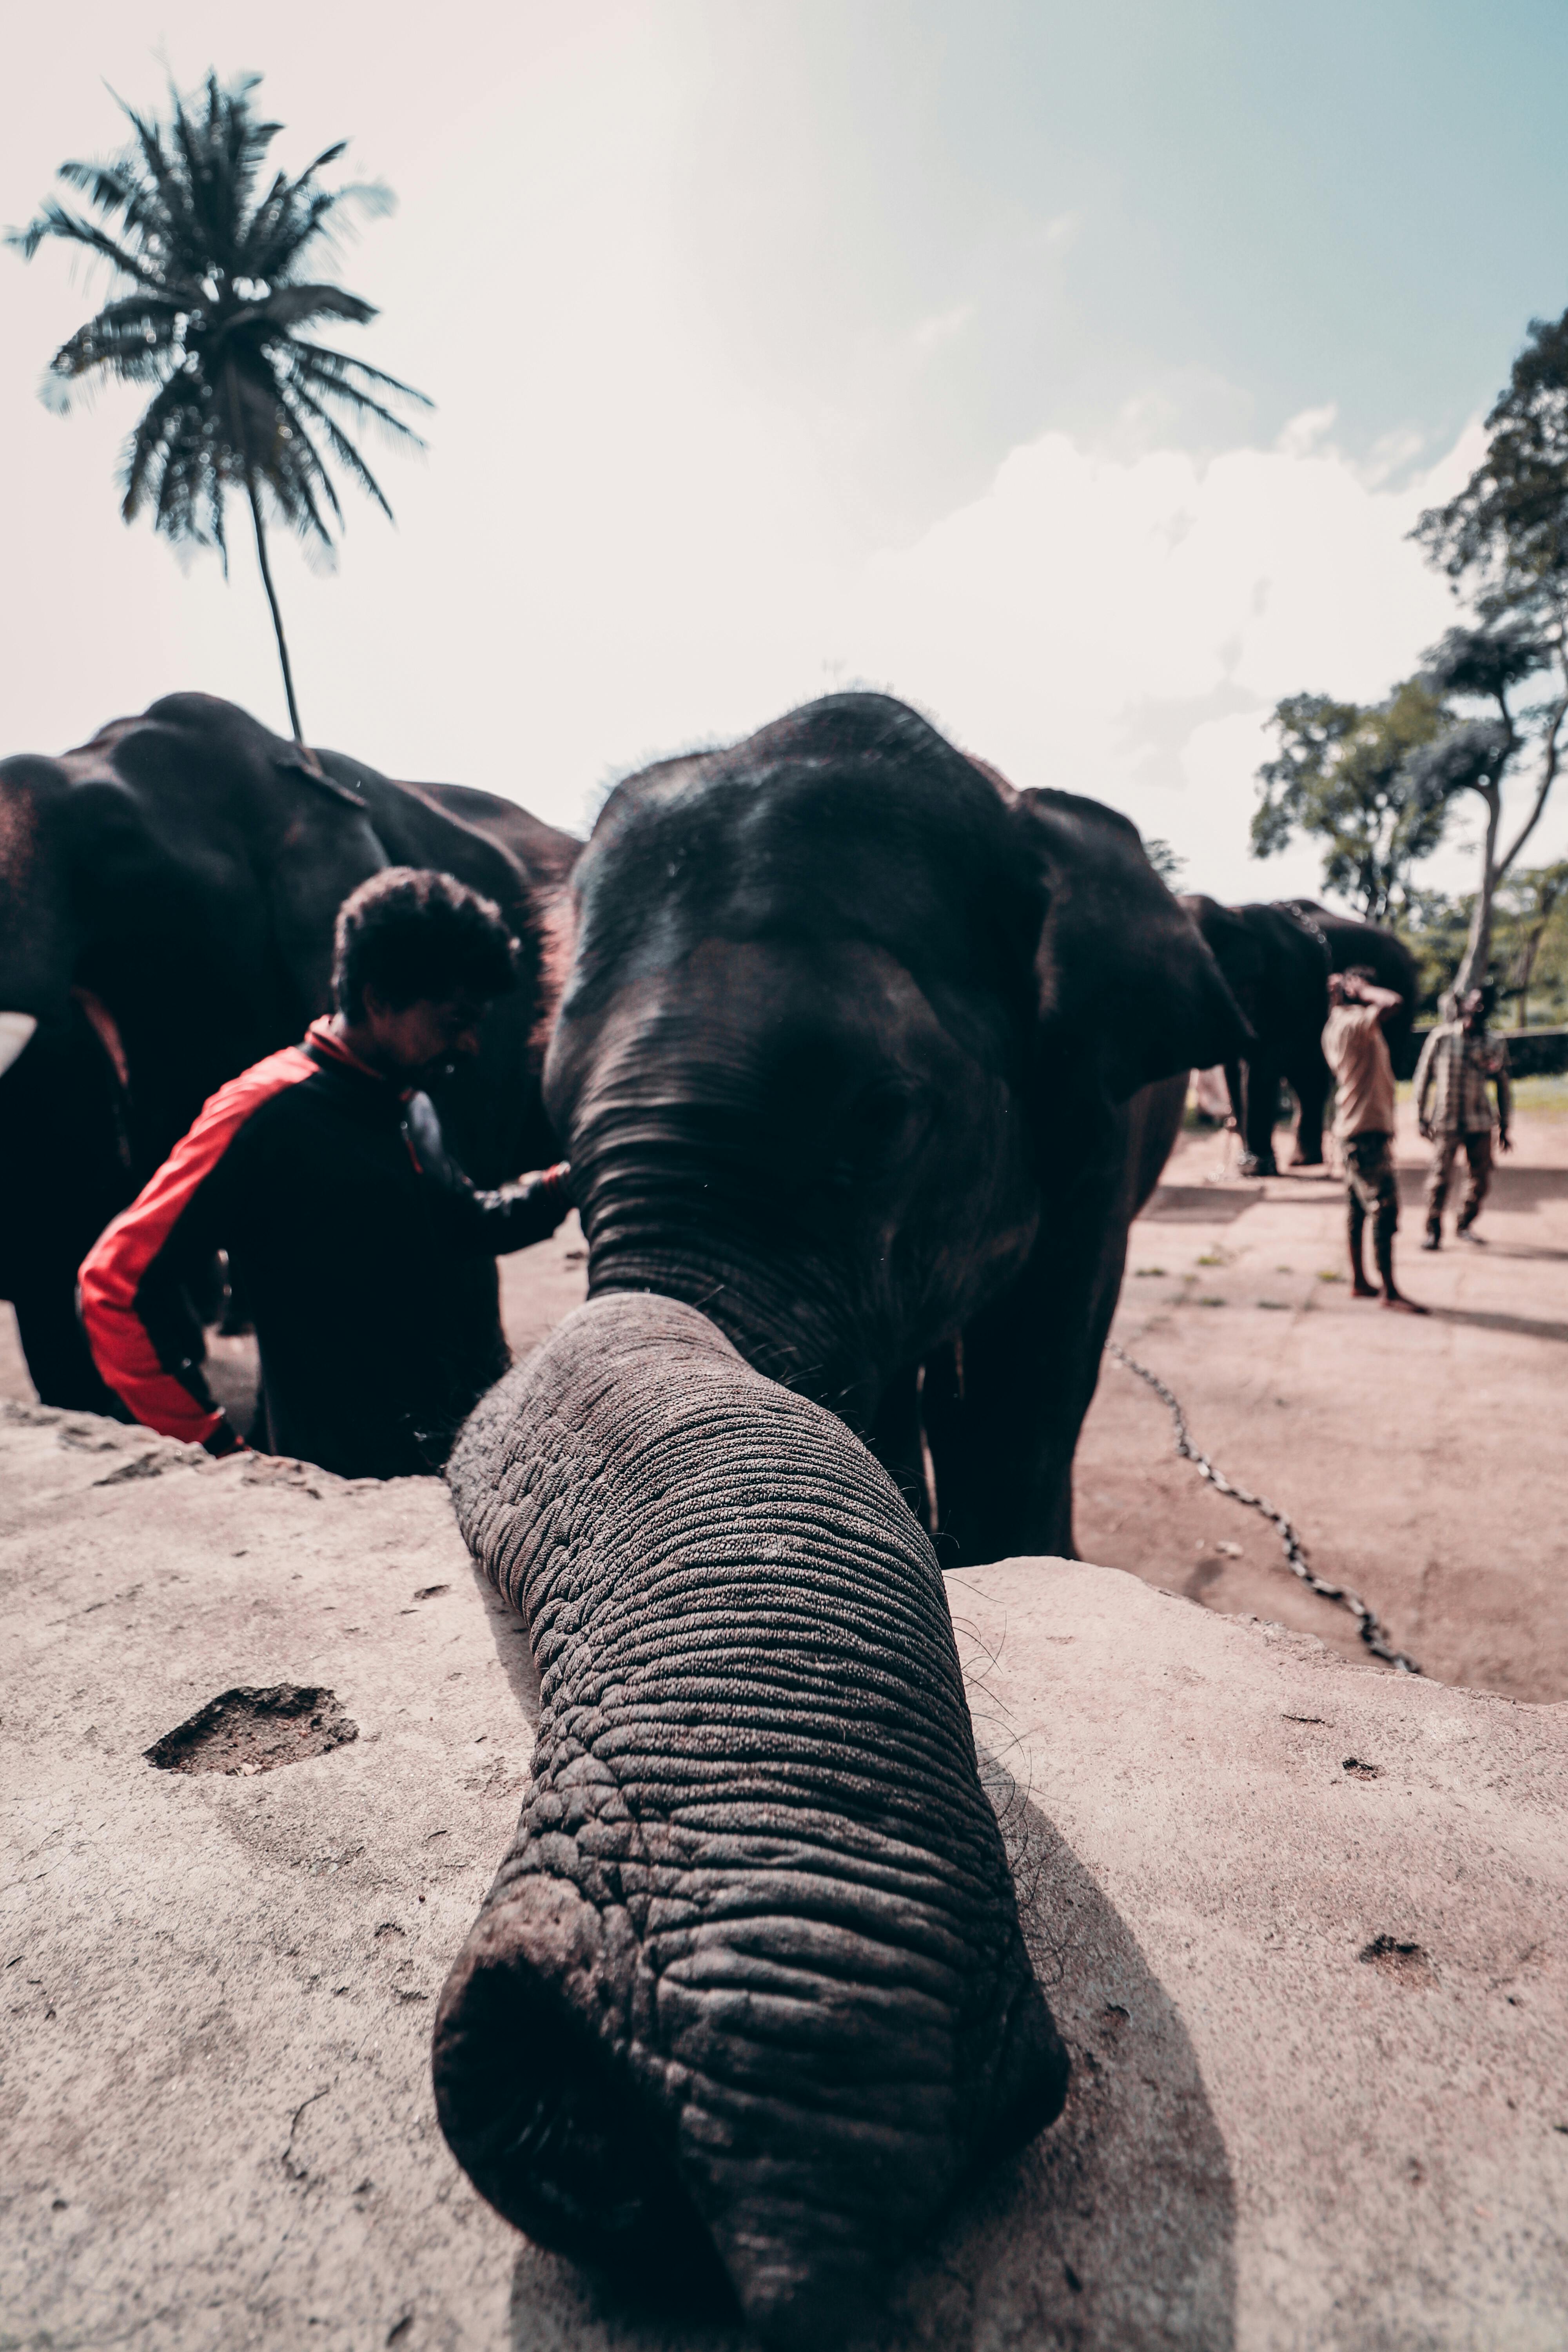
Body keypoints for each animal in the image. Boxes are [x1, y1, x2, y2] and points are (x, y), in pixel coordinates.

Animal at [432, 693, 1247, 2342]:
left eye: (880, 1118)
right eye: (547, 1114)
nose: (569, 2054)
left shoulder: (1090, 1140)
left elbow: (1035, 1366)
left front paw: (1010, 1560)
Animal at [1180, 894, 1418, 1177]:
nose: (1245, 1162)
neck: (1233, 913)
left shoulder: (1289, 982)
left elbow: (1263, 1061)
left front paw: (1256, 1169)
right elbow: (1238, 1065)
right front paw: (1249, 1167)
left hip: (1402, 990)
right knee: (1308, 1077)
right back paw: (1304, 1161)